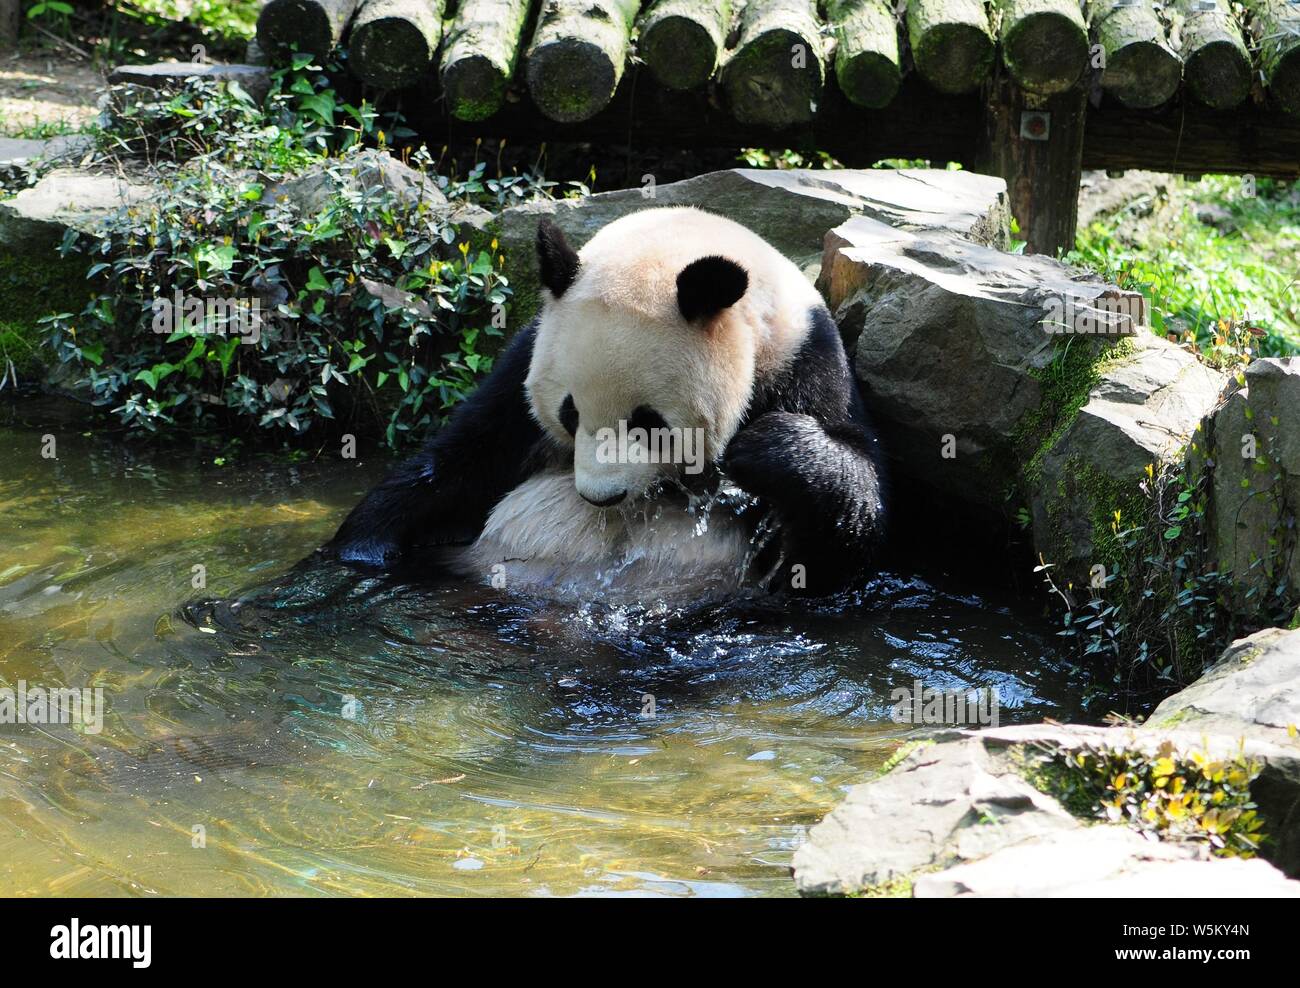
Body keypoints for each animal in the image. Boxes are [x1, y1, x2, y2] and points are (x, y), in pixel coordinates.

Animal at [327, 207, 886, 601]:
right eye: (569, 412)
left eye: (649, 422)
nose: (600, 497)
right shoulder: (524, 363)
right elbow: (460, 463)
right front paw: (358, 548)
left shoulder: (806, 357)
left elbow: (846, 528)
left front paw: (763, 457)